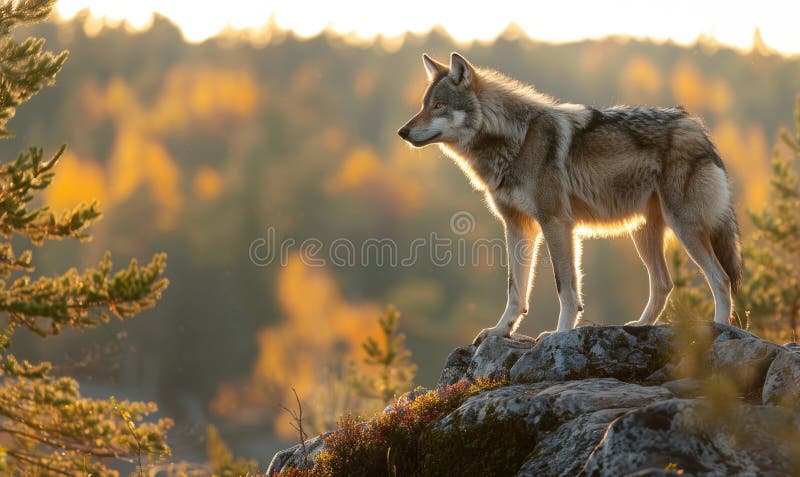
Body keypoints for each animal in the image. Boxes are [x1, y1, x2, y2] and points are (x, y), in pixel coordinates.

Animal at [398, 52, 742, 344]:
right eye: (424, 105)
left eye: (439, 106)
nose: (402, 132)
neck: (517, 139)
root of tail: (697, 127)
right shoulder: (518, 226)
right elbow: (516, 290)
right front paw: (500, 330)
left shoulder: (556, 223)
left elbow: (565, 286)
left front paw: (559, 333)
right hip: (643, 233)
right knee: (663, 284)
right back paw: (640, 326)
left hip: (684, 228)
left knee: (721, 279)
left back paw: (720, 330)